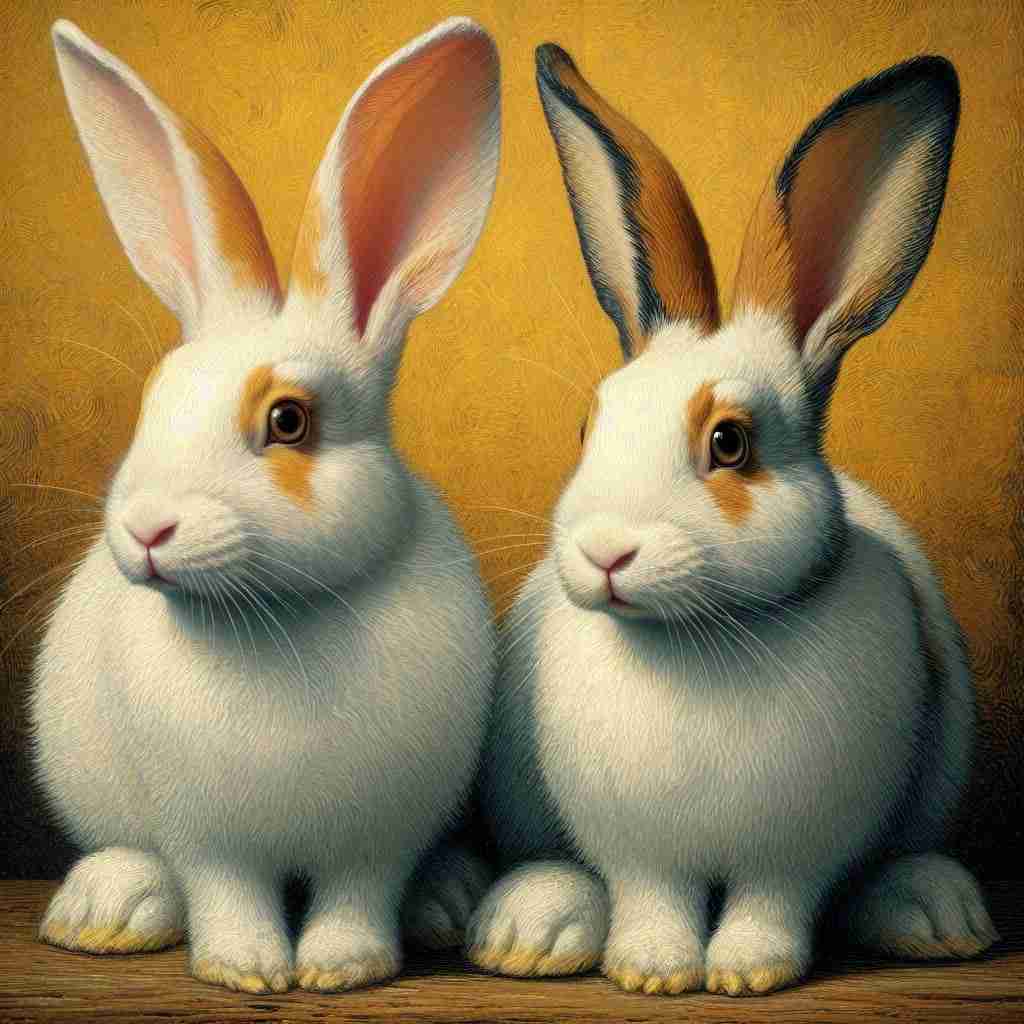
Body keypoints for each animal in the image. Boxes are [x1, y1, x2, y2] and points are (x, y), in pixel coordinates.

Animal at [32, 17, 500, 994]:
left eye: (288, 421)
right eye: (155, 398)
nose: (146, 529)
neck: (277, 616)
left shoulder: (379, 833)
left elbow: (359, 893)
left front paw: (340, 967)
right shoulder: (208, 835)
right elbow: (224, 892)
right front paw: (244, 969)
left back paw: (448, 900)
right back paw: (107, 908)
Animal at [467, 44, 999, 998]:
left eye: (730, 442)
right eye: (589, 425)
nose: (606, 551)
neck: (696, 640)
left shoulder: (796, 854)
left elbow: (770, 904)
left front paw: (750, 973)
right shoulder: (637, 850)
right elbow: (651, 898)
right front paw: (651, 971)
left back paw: (935, 916)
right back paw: (529, 929)